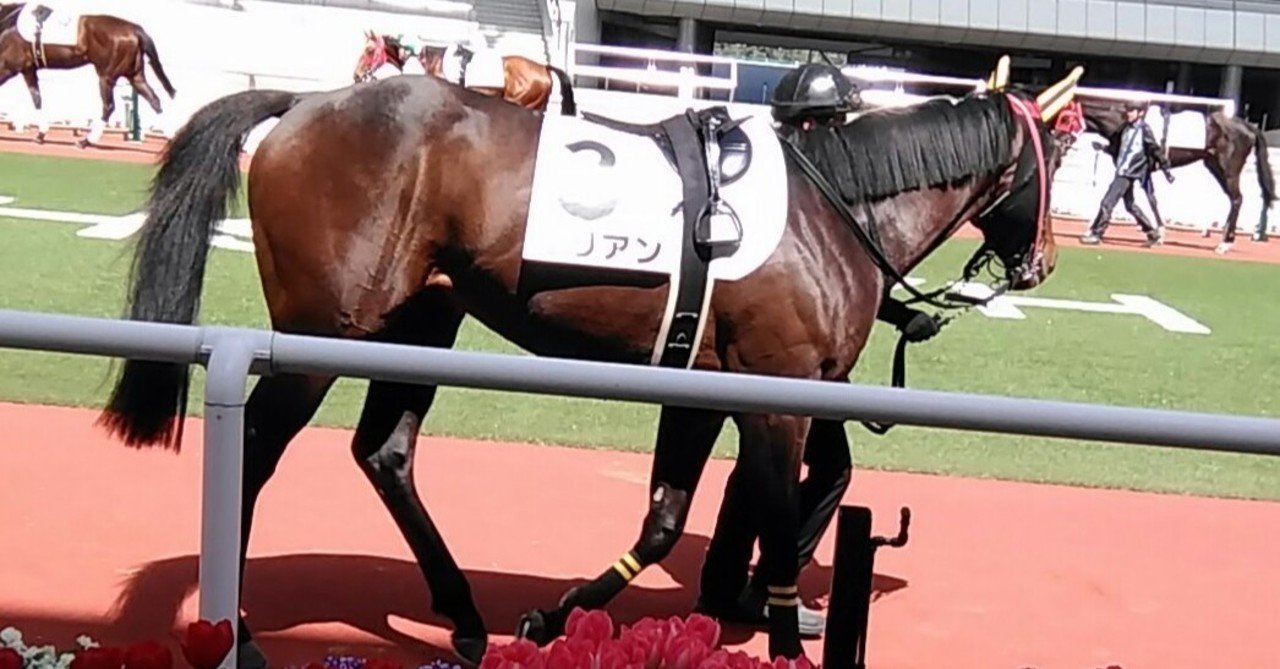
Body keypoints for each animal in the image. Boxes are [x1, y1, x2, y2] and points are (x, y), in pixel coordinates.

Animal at [0, 2, 175, 146]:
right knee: (154, 100)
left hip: (106, 77)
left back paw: (86, 141)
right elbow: (37, 99)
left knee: (108, 107)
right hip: (135, 75)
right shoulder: (28, 69)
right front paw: (41, 134)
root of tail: (135, 29)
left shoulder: (10, 67)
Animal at [95, 65, 1078, 665]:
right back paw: (242, 629)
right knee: (257, 449)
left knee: (385, 449)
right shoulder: (775, 397)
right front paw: (785, 625)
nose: (1044, 261)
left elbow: (671, 516)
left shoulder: (709, 385)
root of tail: (306, 103)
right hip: (319, 333)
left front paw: (558, 613)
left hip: (424, 317)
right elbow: (772, 506)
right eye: (1064, 148)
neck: (828, 205)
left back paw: (464, 618)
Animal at [1079, 97, 1276, 252]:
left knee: (1237, 199)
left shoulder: (1133, 168)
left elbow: (1136, 199)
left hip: (1229, 170)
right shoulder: (1134, 169)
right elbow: (1141, 200)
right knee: (1234, 199)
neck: (1122, 121)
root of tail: (1248, 126)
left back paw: (1225, 243)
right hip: (1214, 166)